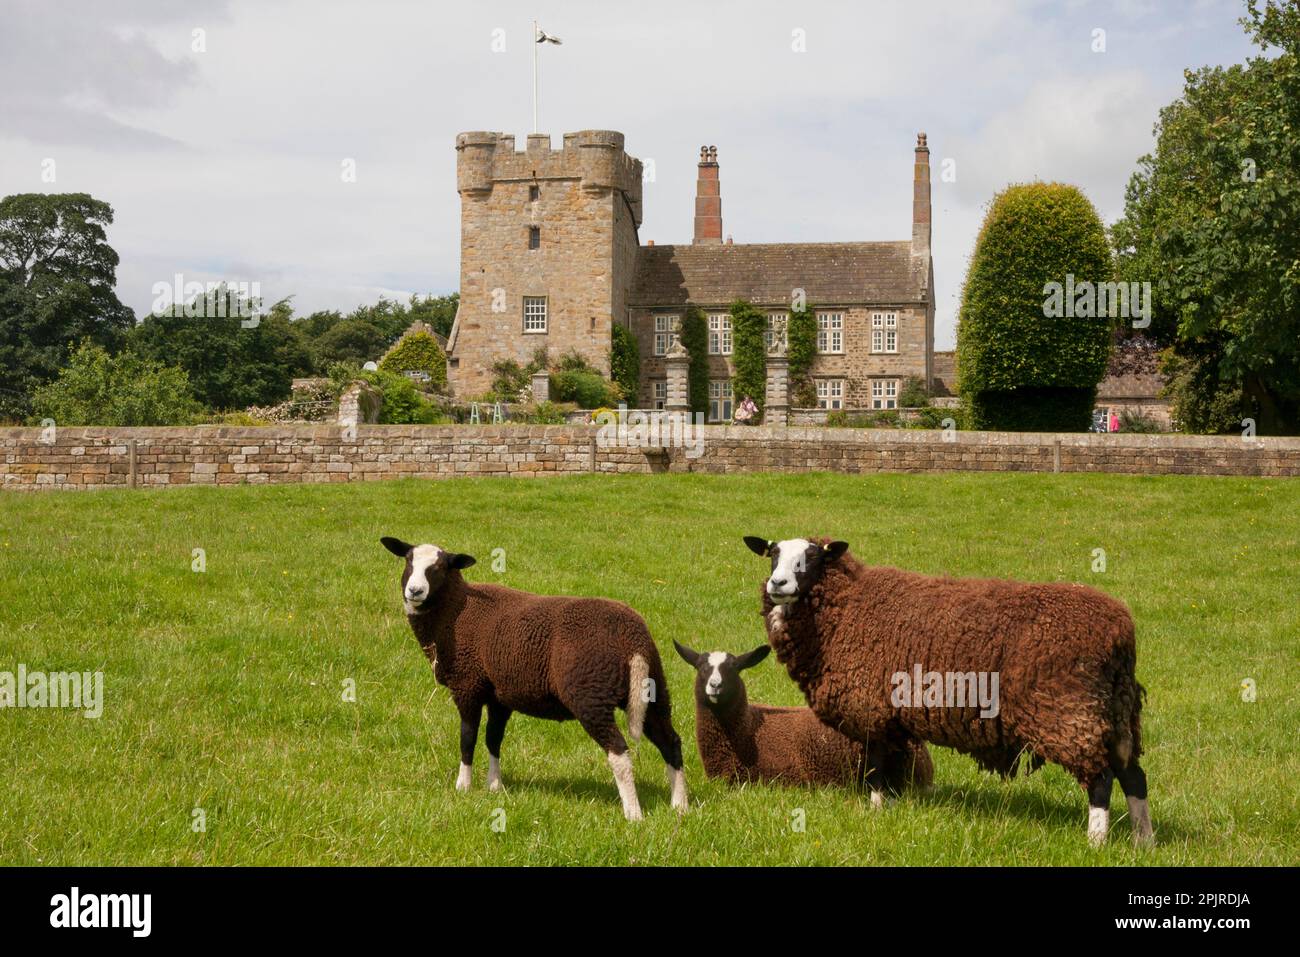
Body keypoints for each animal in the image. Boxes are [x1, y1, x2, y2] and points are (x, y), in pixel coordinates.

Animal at [380, 536, 688, 821]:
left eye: (440, 567)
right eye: (408, 561)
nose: (415, 591)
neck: (456, 610)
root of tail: (633, 639)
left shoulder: (467, 684)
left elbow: (467, 737)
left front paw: (463, 786)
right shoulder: (499, 695)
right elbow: (493, 738)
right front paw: (495, 786)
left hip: (590, 694)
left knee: (619, 752)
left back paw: (633, 814)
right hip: (654, 690)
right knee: (670, 741)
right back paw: (680, 806)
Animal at [743, 536, 1153, 846]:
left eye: (811, 557)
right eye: (772, 554)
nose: (777, 585)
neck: (845, 611)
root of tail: (1120, 632)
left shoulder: (872, 707)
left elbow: (874, 768)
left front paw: (874, 811)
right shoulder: (892, 717)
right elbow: (892, 766)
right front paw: (894, 806)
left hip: (1069, 712)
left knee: (1101, 779)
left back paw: (1096, 842)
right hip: (1115, 713)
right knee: (1133, 775)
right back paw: (1142, 840)